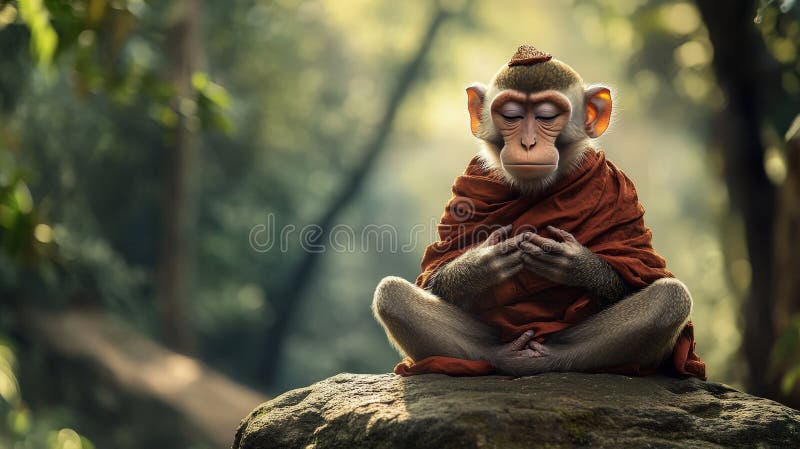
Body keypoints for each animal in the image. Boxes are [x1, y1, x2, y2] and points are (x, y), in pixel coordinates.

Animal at [371, 45, 706, 379]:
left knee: (671, 297)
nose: (528, 143)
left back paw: (552, 359)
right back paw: (500, 357)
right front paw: (480, 264)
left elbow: (642, 278)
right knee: (391, 294)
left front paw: (577, 264)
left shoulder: (622, 196)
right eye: (512, 115)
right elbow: (431, 278)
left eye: (547, 116)